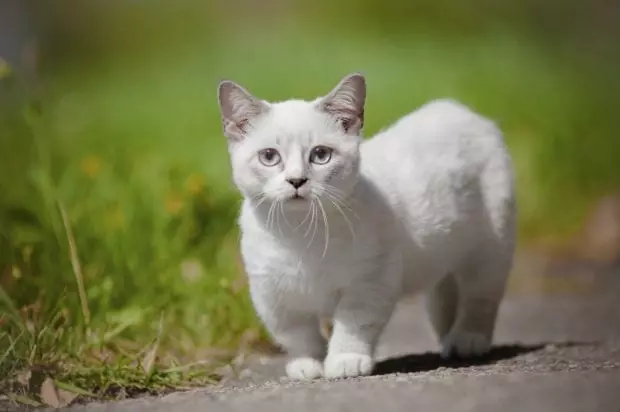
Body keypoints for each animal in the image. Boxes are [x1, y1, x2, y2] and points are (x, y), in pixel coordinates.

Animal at [216, 71, 516, 380]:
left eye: (320, 155)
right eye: (269, 156)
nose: (297, 180)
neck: (300, 235)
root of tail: (456, 108)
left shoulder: (369, 282)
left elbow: (352, 326)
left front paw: (345, 361)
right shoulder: (273, 295)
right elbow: (298, 335)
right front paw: (308, 364)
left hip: (489, 248)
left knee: (480, 298)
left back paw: (467, 340)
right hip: (443, 260)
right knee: (444, 300)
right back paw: (447, 341)